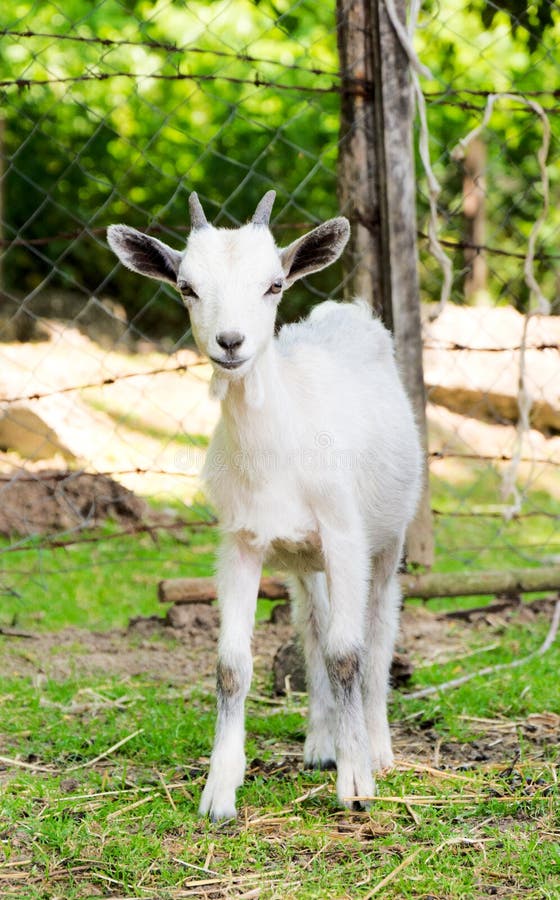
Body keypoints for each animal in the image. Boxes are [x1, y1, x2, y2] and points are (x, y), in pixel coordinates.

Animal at [107, 190, 422, 820]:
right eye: (187, 286)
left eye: (274, 284)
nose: (231, 342)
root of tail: (347, 311)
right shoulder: (240, 541)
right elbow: (232, 666)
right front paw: (219, 791)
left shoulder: (345, 535)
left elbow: (348, 654)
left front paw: (355, 785)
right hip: (304, 561)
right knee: (313, 625)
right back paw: (321, 742)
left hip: (386, 538)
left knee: (377, 631)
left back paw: (375, 748)